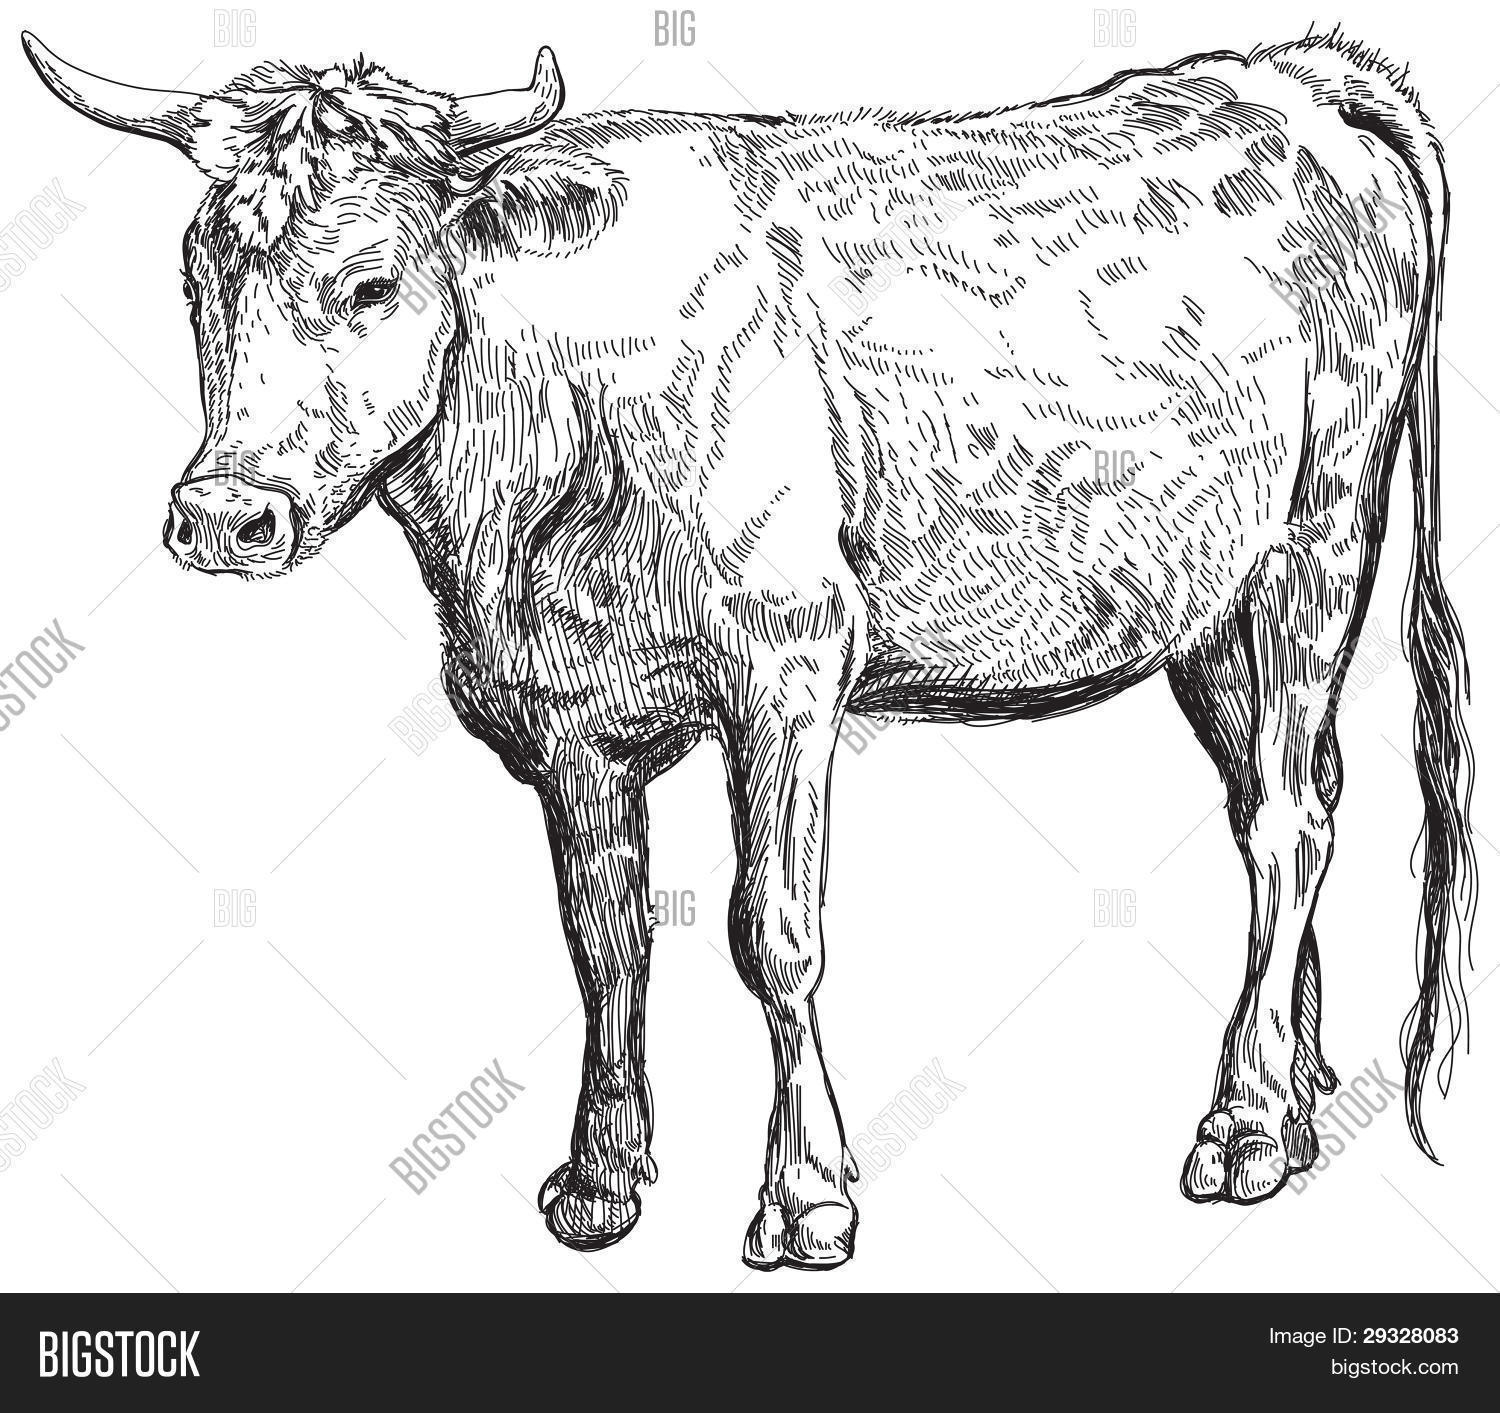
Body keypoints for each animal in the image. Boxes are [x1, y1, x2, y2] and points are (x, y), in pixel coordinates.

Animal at [27, 29, 1475, 1271]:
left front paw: (807, 1198)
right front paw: (602, 1177)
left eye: (374, 281)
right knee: (1298, 796)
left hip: (1316, 540)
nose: (225, 516)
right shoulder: (569, 720)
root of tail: (1293, 72)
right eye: (197, 280)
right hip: (1206, 608)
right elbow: (604, 936)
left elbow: (773, 932)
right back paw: (1294, 1101)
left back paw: (1242, 1127)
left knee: (1284, 820)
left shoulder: (790, 658)